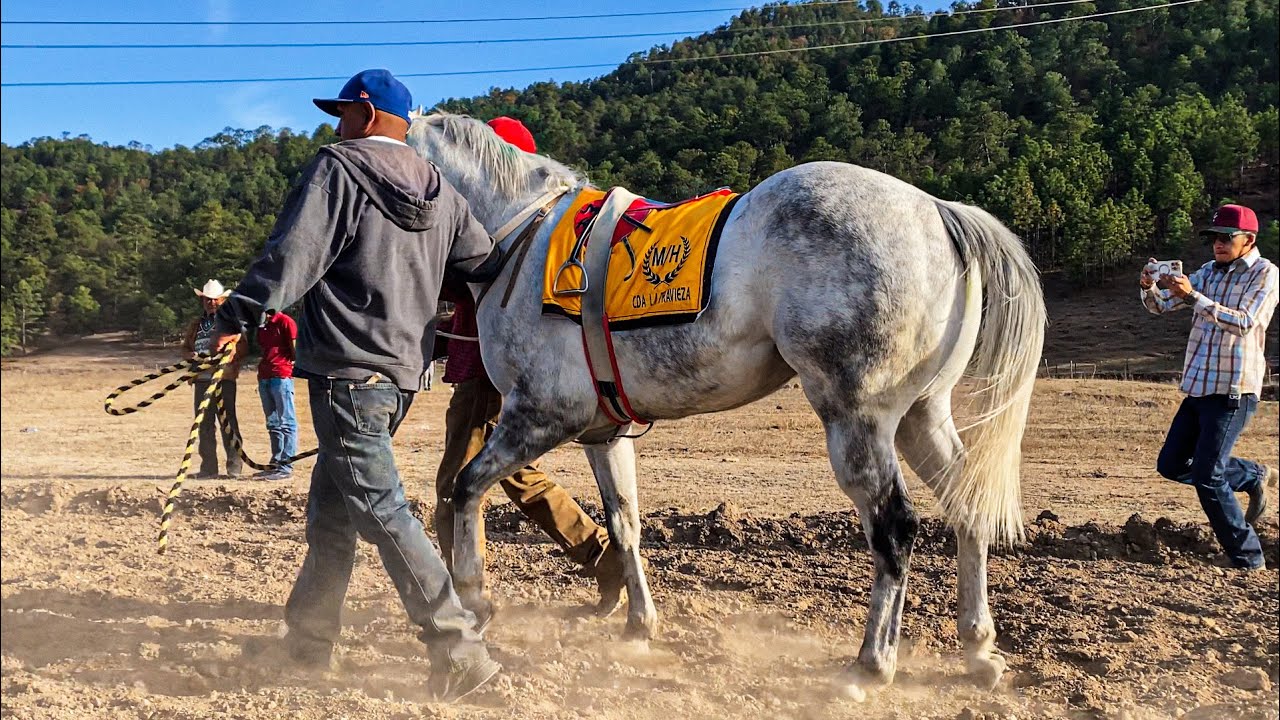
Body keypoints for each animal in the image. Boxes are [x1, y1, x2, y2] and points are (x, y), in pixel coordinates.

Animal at [407, 111, 1046, 698]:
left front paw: (473, 596)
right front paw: (639, 625)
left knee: (894, 528)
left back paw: (870, 665)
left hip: (859, 421)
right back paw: (978, 647)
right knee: (968, 506)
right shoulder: (603, 434)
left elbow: (466, 485)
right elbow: (625, 522)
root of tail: (935, 209)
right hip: (921, 416)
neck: (528, 240)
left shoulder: (539, 416)